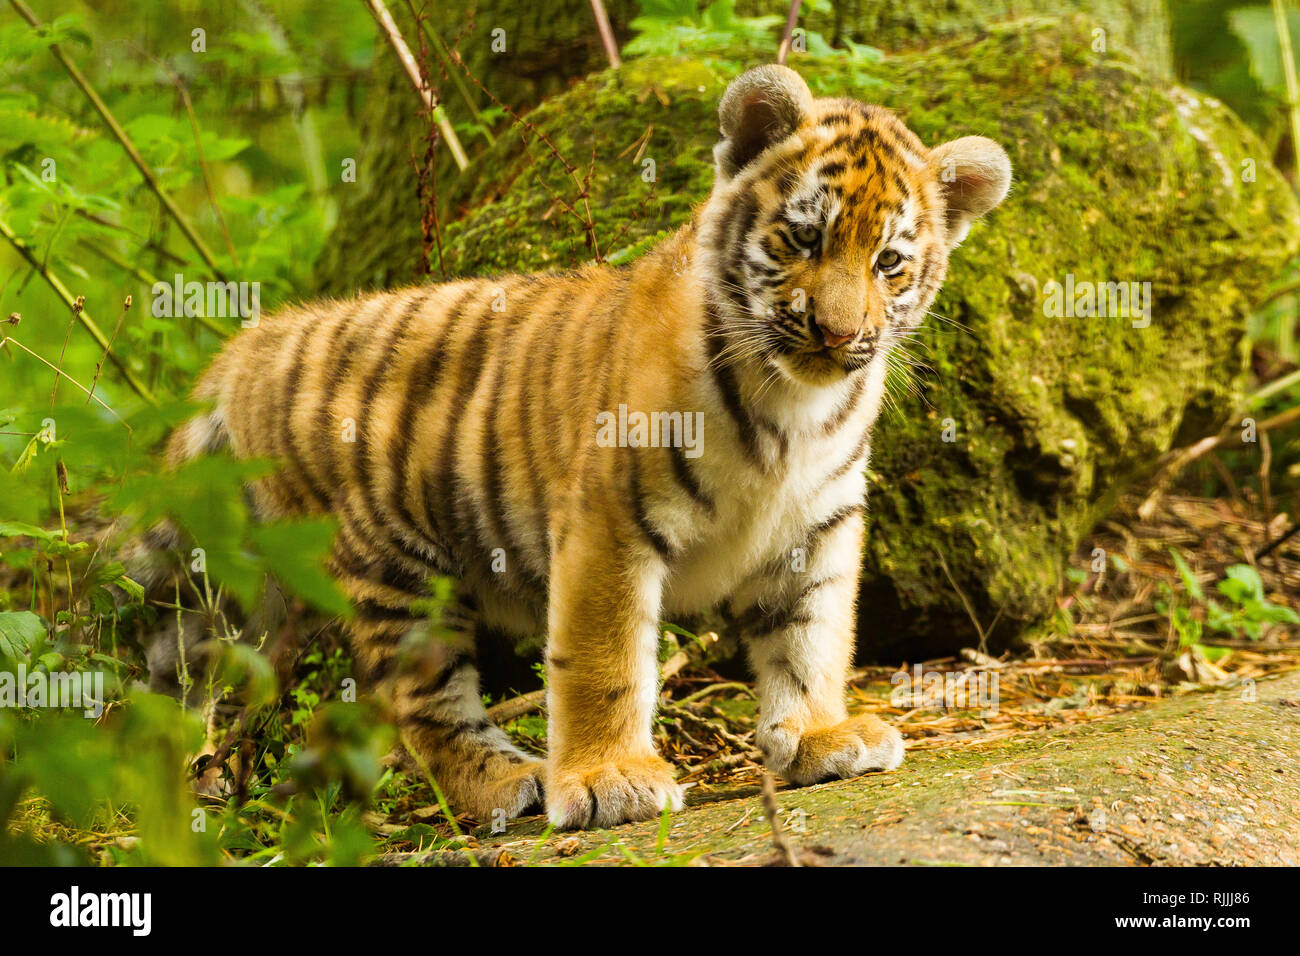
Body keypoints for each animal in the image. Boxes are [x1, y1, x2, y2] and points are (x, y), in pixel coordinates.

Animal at [154, 64, 1011, 829]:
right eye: (803, 237)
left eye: (888, 261)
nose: (838, 334)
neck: (795, 405)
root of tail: (249, 347)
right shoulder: (611, 522)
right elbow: (605, 660)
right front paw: (611, 781)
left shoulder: (818, 523)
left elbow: (811, 636)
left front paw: (819, 736)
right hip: (395, 572)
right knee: (421, 704)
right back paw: (507, 785)